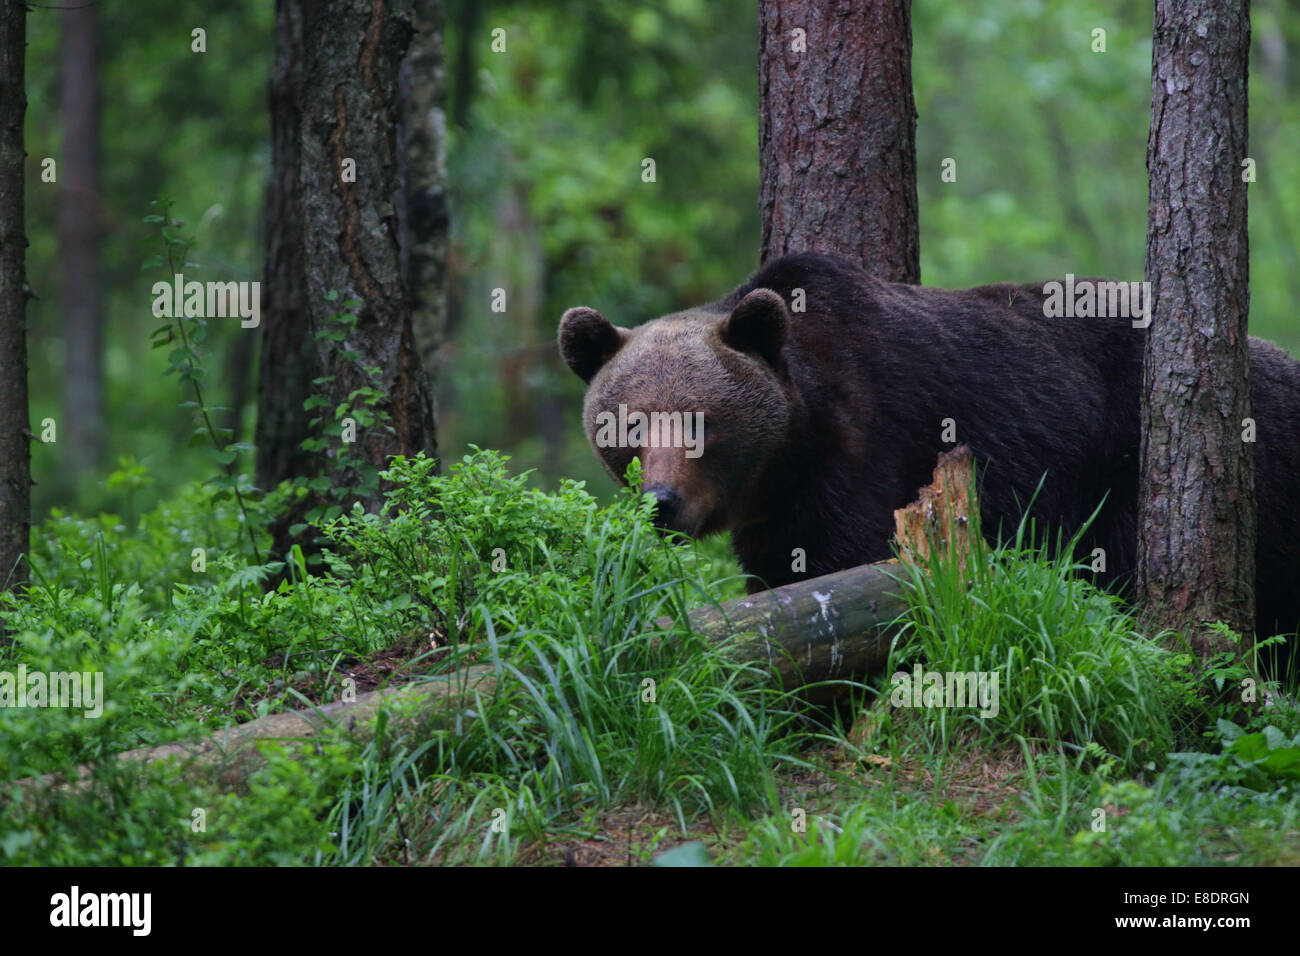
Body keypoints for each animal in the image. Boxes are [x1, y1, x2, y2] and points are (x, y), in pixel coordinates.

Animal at [558, 252, 1300, 640]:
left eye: (702, 424)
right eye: (629, 427)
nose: (662, 502)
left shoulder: (875, 446)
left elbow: (847, 567)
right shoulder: (777, 513)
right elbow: (777, 577)